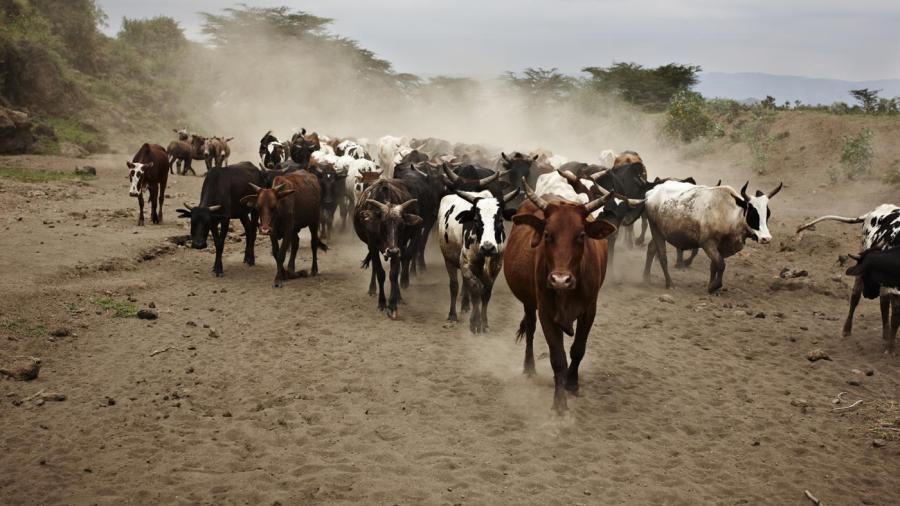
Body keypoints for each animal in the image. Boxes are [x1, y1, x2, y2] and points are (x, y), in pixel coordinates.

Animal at [353, 179, 422, 319]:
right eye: (383, 224)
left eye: (402, 225)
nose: (392, 251)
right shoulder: (372, 246)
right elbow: (380, 273)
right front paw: (382, 303)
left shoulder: (398, 246)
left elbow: (393, 275)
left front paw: (392, 306)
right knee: (375, 267)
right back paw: (372, 288)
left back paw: (399, 297)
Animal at [439, 188, 519, 333]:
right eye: (476, 219)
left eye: (500, 220)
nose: (488, 247)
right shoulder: (466, 264)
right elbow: (475, 291)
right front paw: (475, 323)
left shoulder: (496, 267)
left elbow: (486, 293)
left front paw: (484, 323)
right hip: (449, 259)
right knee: (454, 286)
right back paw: (452, 315)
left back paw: (465, 306)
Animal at [504, 179, 616, 413]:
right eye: (547, 235)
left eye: (581, 236)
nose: (560, 280)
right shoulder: (547, 313)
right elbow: (558, 358)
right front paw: (559, 402)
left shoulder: (589, 310)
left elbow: (578, 350)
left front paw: (572, 384)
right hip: (529, 303)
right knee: (530, 329)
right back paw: (529, 368)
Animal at [643, 180, 782, 293]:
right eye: (753, 214)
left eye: (768, 213)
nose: (766, 238)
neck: (727, 214)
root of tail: (652, 192)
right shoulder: (708, 244)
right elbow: (721, 265)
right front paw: (713, 286)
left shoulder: (720, 247)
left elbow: (714, 266)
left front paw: (713, 287)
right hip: (656, 230)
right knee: (662, 256)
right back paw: (669, 284)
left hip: (661, 232)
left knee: (651, 249)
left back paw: (646, 278)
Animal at [796, 204, 900, 343]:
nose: (868, 294)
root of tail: (877, 209)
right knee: (856, 296)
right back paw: (847, 329)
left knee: (883, 302)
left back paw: (885, 334)